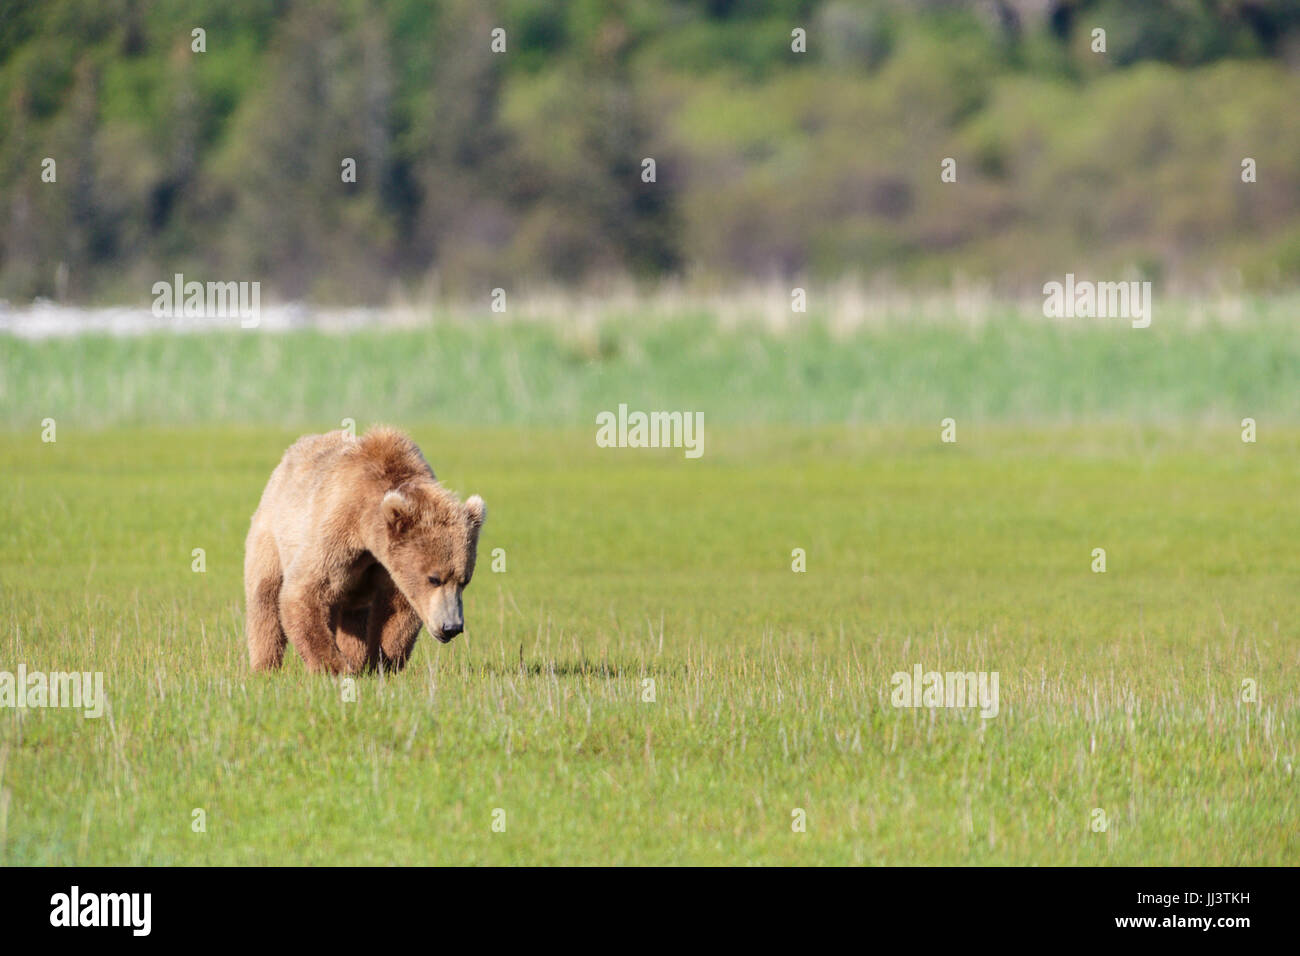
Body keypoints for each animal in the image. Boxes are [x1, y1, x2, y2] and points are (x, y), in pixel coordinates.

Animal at [243, 426, 486, 674]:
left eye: (465, 580)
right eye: (434, 578)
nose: (451, 627)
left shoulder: (387, 564)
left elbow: (397, 609)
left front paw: (383, 662)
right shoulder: (339, 527)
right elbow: (307, 590)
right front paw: (335, 667)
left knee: (353, 616)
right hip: (271, 532)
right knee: (266, 595)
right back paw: (265, 666)